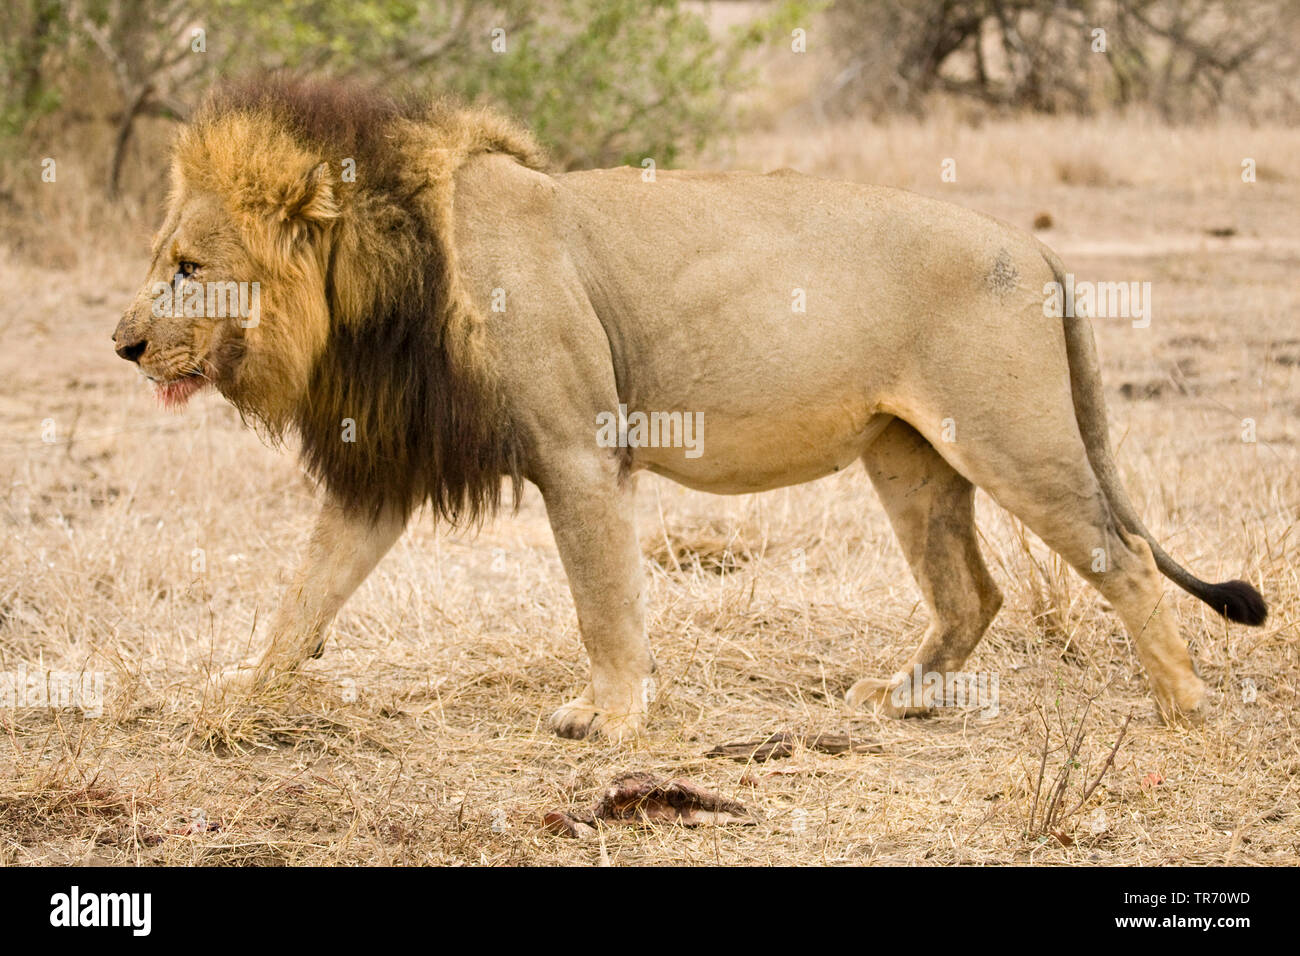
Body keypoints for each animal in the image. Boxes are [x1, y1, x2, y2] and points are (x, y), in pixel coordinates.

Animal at [114, 76, 1266, 741]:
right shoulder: (387, 470)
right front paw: (239, 696)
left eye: (190, 266)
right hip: (907, 454)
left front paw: (615, 718)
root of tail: (1035, 246)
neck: (371, 290)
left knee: (1121, 553)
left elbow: (603, 602)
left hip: (1011, 438)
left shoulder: (579, 452)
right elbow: (304, 591)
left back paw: (1182, 704)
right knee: (971, 592)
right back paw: (897, 694)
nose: (123, 344)